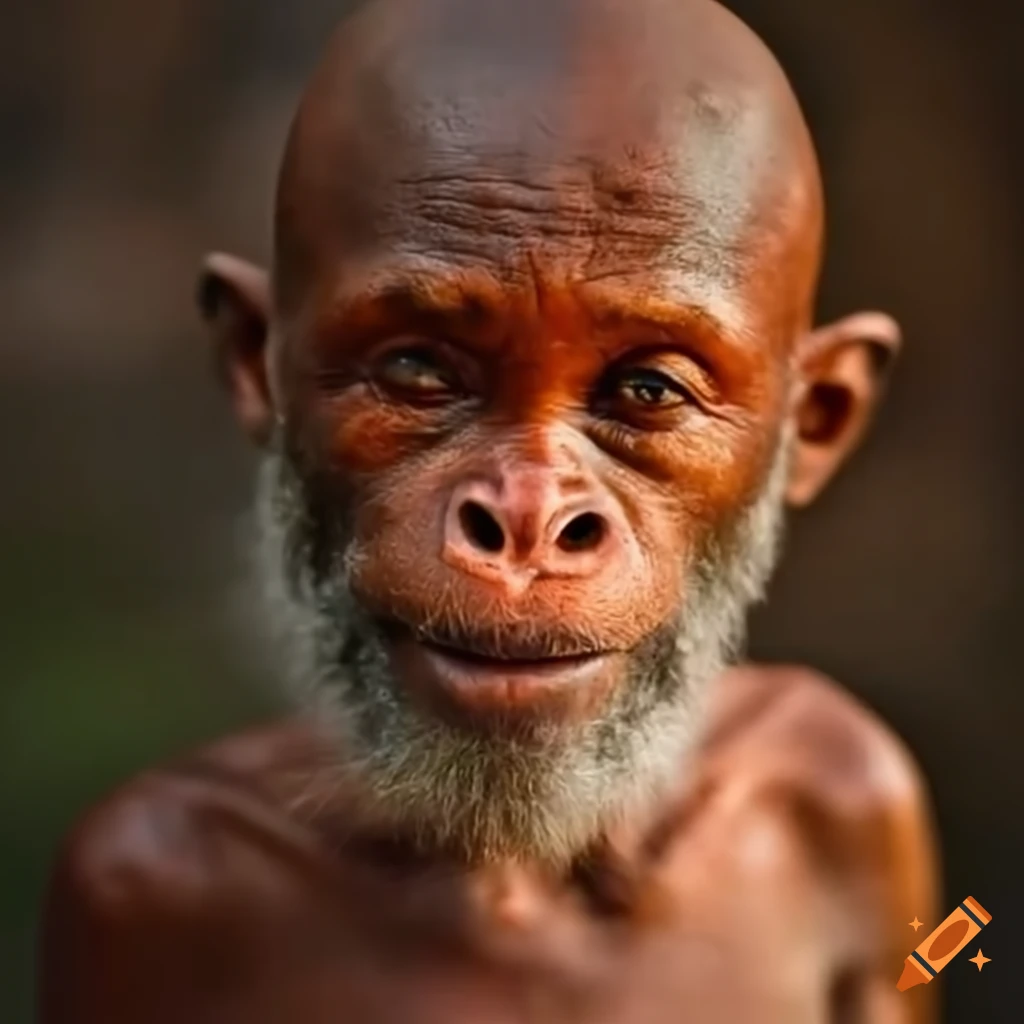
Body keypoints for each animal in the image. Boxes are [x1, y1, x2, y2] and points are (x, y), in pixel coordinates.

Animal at [37, 1, 938, 1022]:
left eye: (649, 388)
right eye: (418, 368)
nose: (527, 519)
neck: (517, 867)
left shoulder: (848, 769)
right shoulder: (130, 870)